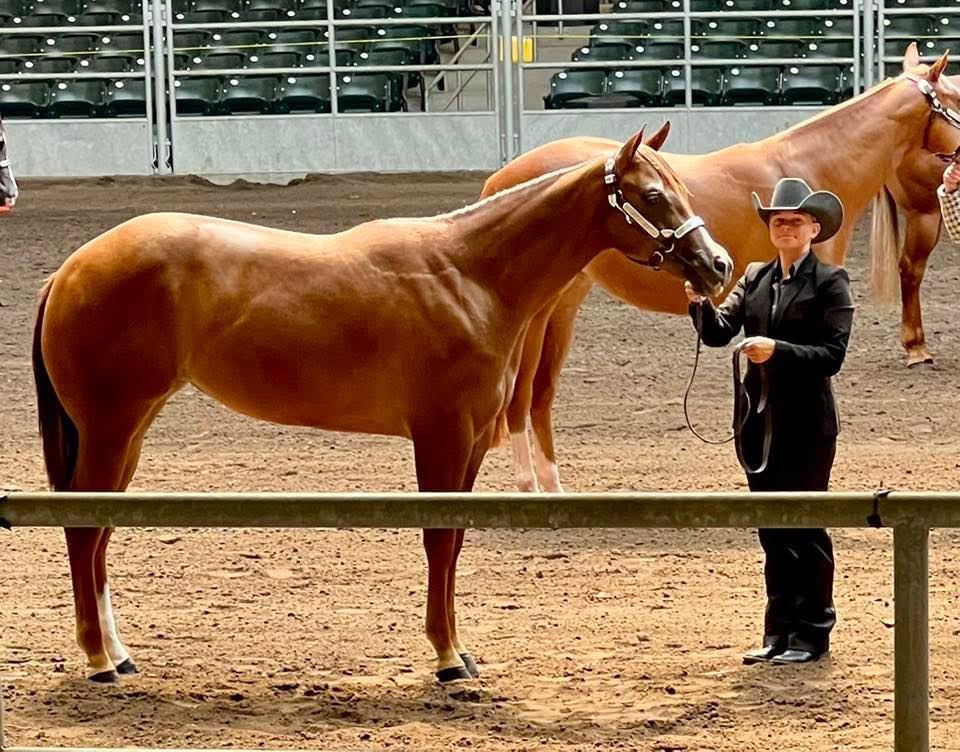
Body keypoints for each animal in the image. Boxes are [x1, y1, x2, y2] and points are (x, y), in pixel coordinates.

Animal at [31, 127, 733, 684]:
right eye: (652, 196)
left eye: (680, 188)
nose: (718, 263)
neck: (468, 276)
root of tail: (70, 269)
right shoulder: (442, 435)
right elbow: (439, 541)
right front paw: (448, 658)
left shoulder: (471, 442)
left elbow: (453, 542)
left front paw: (458, 651)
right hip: (111, 429)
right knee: (83, 531)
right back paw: (99, 662)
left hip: (130, 431)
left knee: (99, 533)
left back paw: (119, 654)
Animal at [481, 44, 960, 494]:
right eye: (956, 96)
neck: (811, 167)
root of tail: (500, 180)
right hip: (537, 314)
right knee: (521, 396)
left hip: (563, 306)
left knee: (540, 395)